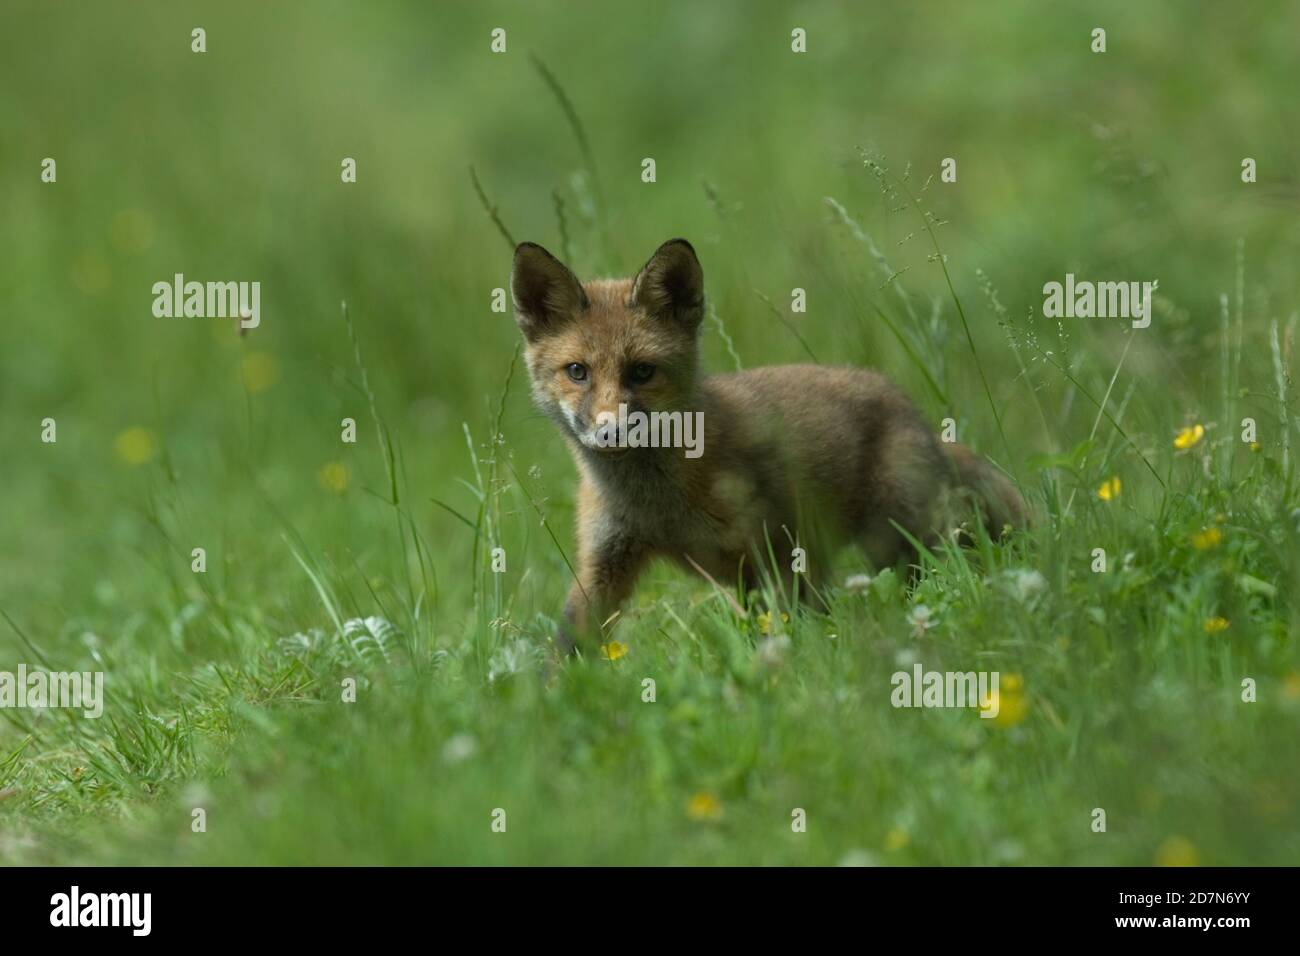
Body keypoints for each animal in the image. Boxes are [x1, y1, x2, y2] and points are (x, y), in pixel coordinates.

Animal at [510, 238, 1027, 653]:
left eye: (642, 371)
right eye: (577, 371)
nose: (611, 431)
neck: (659, 506)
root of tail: (912, 411)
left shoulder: (772, 550)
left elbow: (785, 626)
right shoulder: (605, 561)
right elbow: (568, 642)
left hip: (900, 539)